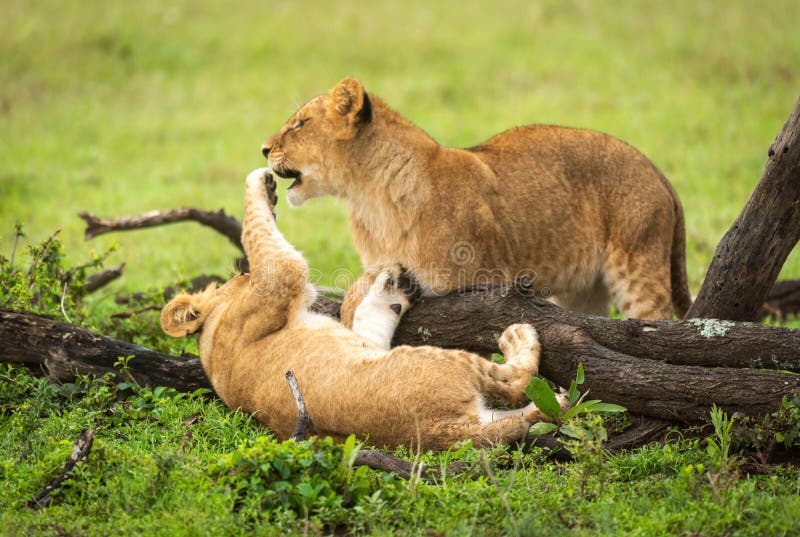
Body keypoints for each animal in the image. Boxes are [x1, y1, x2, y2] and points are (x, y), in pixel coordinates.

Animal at [161, 168, 566, 451]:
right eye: (243, 272)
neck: (213, 333)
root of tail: (433, 432)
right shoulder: (278, 279)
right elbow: (259, 235)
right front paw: (261, 182)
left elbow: (364, 316)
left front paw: (392, 287)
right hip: (437, 361)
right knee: (514, 383)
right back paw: (519, 339)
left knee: (525, 413)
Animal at [261, 77, 692, 327]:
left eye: (299, 124)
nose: (264, 148)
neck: (368, 195)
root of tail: (655, 169)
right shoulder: (383, 266)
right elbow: (354, 290)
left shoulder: (480, 284)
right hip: (582, 288)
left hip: (638, 266)